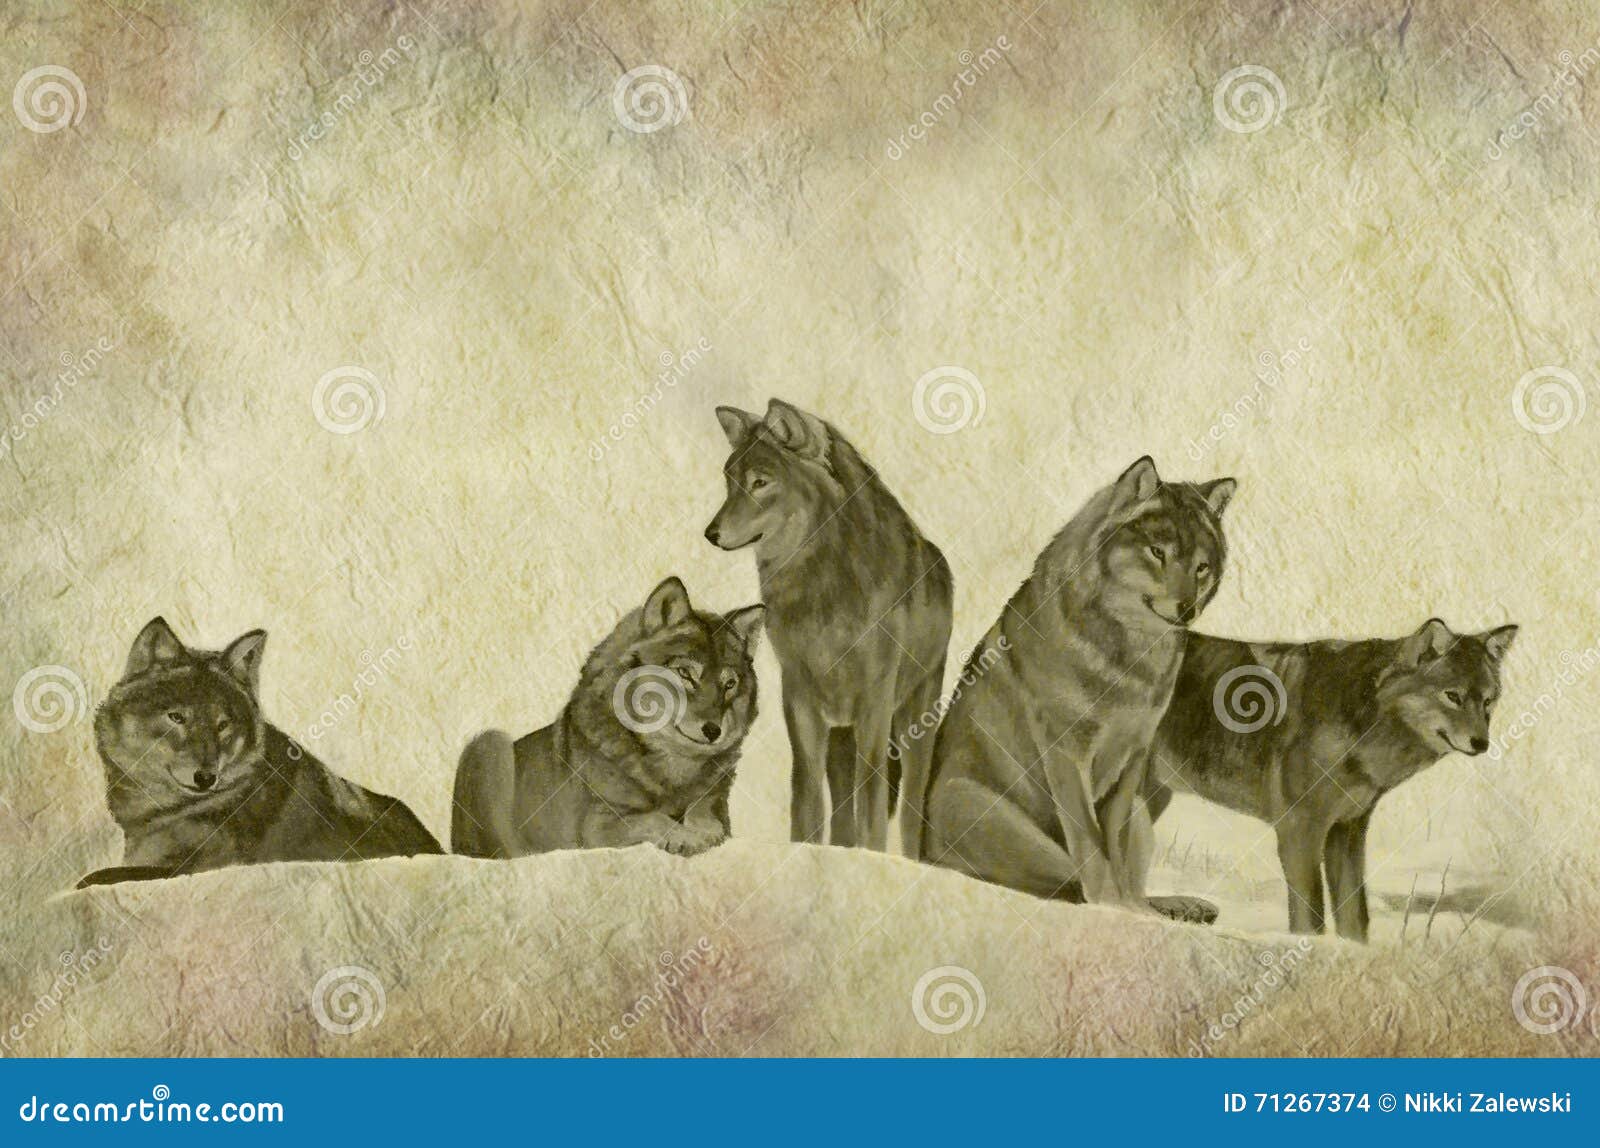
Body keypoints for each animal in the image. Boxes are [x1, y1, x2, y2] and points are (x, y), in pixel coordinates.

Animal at [451, 577, 763, 858]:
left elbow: (705, 813)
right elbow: (653, 817)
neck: (670, 771)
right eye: (685, 673)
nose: (713, 731)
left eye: (729, 684)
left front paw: (702, 830)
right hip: (489, 743)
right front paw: (685, 836)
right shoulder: (596, 825)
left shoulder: (714, 801)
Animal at [704, 399, 953, 854]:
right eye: (730, 482)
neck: (819, 588)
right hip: (841, 734)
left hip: (916, 709)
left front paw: (871, 858)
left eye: (760, 482)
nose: (711, 533)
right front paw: (807, 853)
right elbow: (806, 795)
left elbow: (872, 798)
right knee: (840, 804)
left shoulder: (875, 700)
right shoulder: (798, 695)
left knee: (911, 803)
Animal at [922, 457, 1236, 919]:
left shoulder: (1132, 760)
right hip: (974, 805)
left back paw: (1177, 906)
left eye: (1201, 567)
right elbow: (1090, 843)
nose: (1187, 609)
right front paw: (1111, 904)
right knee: (1060, 877)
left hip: (1142, 814)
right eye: (1158, 553)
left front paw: (1131, 909)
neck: (1132, 661)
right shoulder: (1067, 753)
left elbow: (1115, 846)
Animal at [1146, 618, 1517, 940]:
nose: (1482, 743)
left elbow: (1355, 915)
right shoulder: (1299, 829)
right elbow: (1310, 916)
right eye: (1452, 696)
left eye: (1488, 701)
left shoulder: (1347, 830)